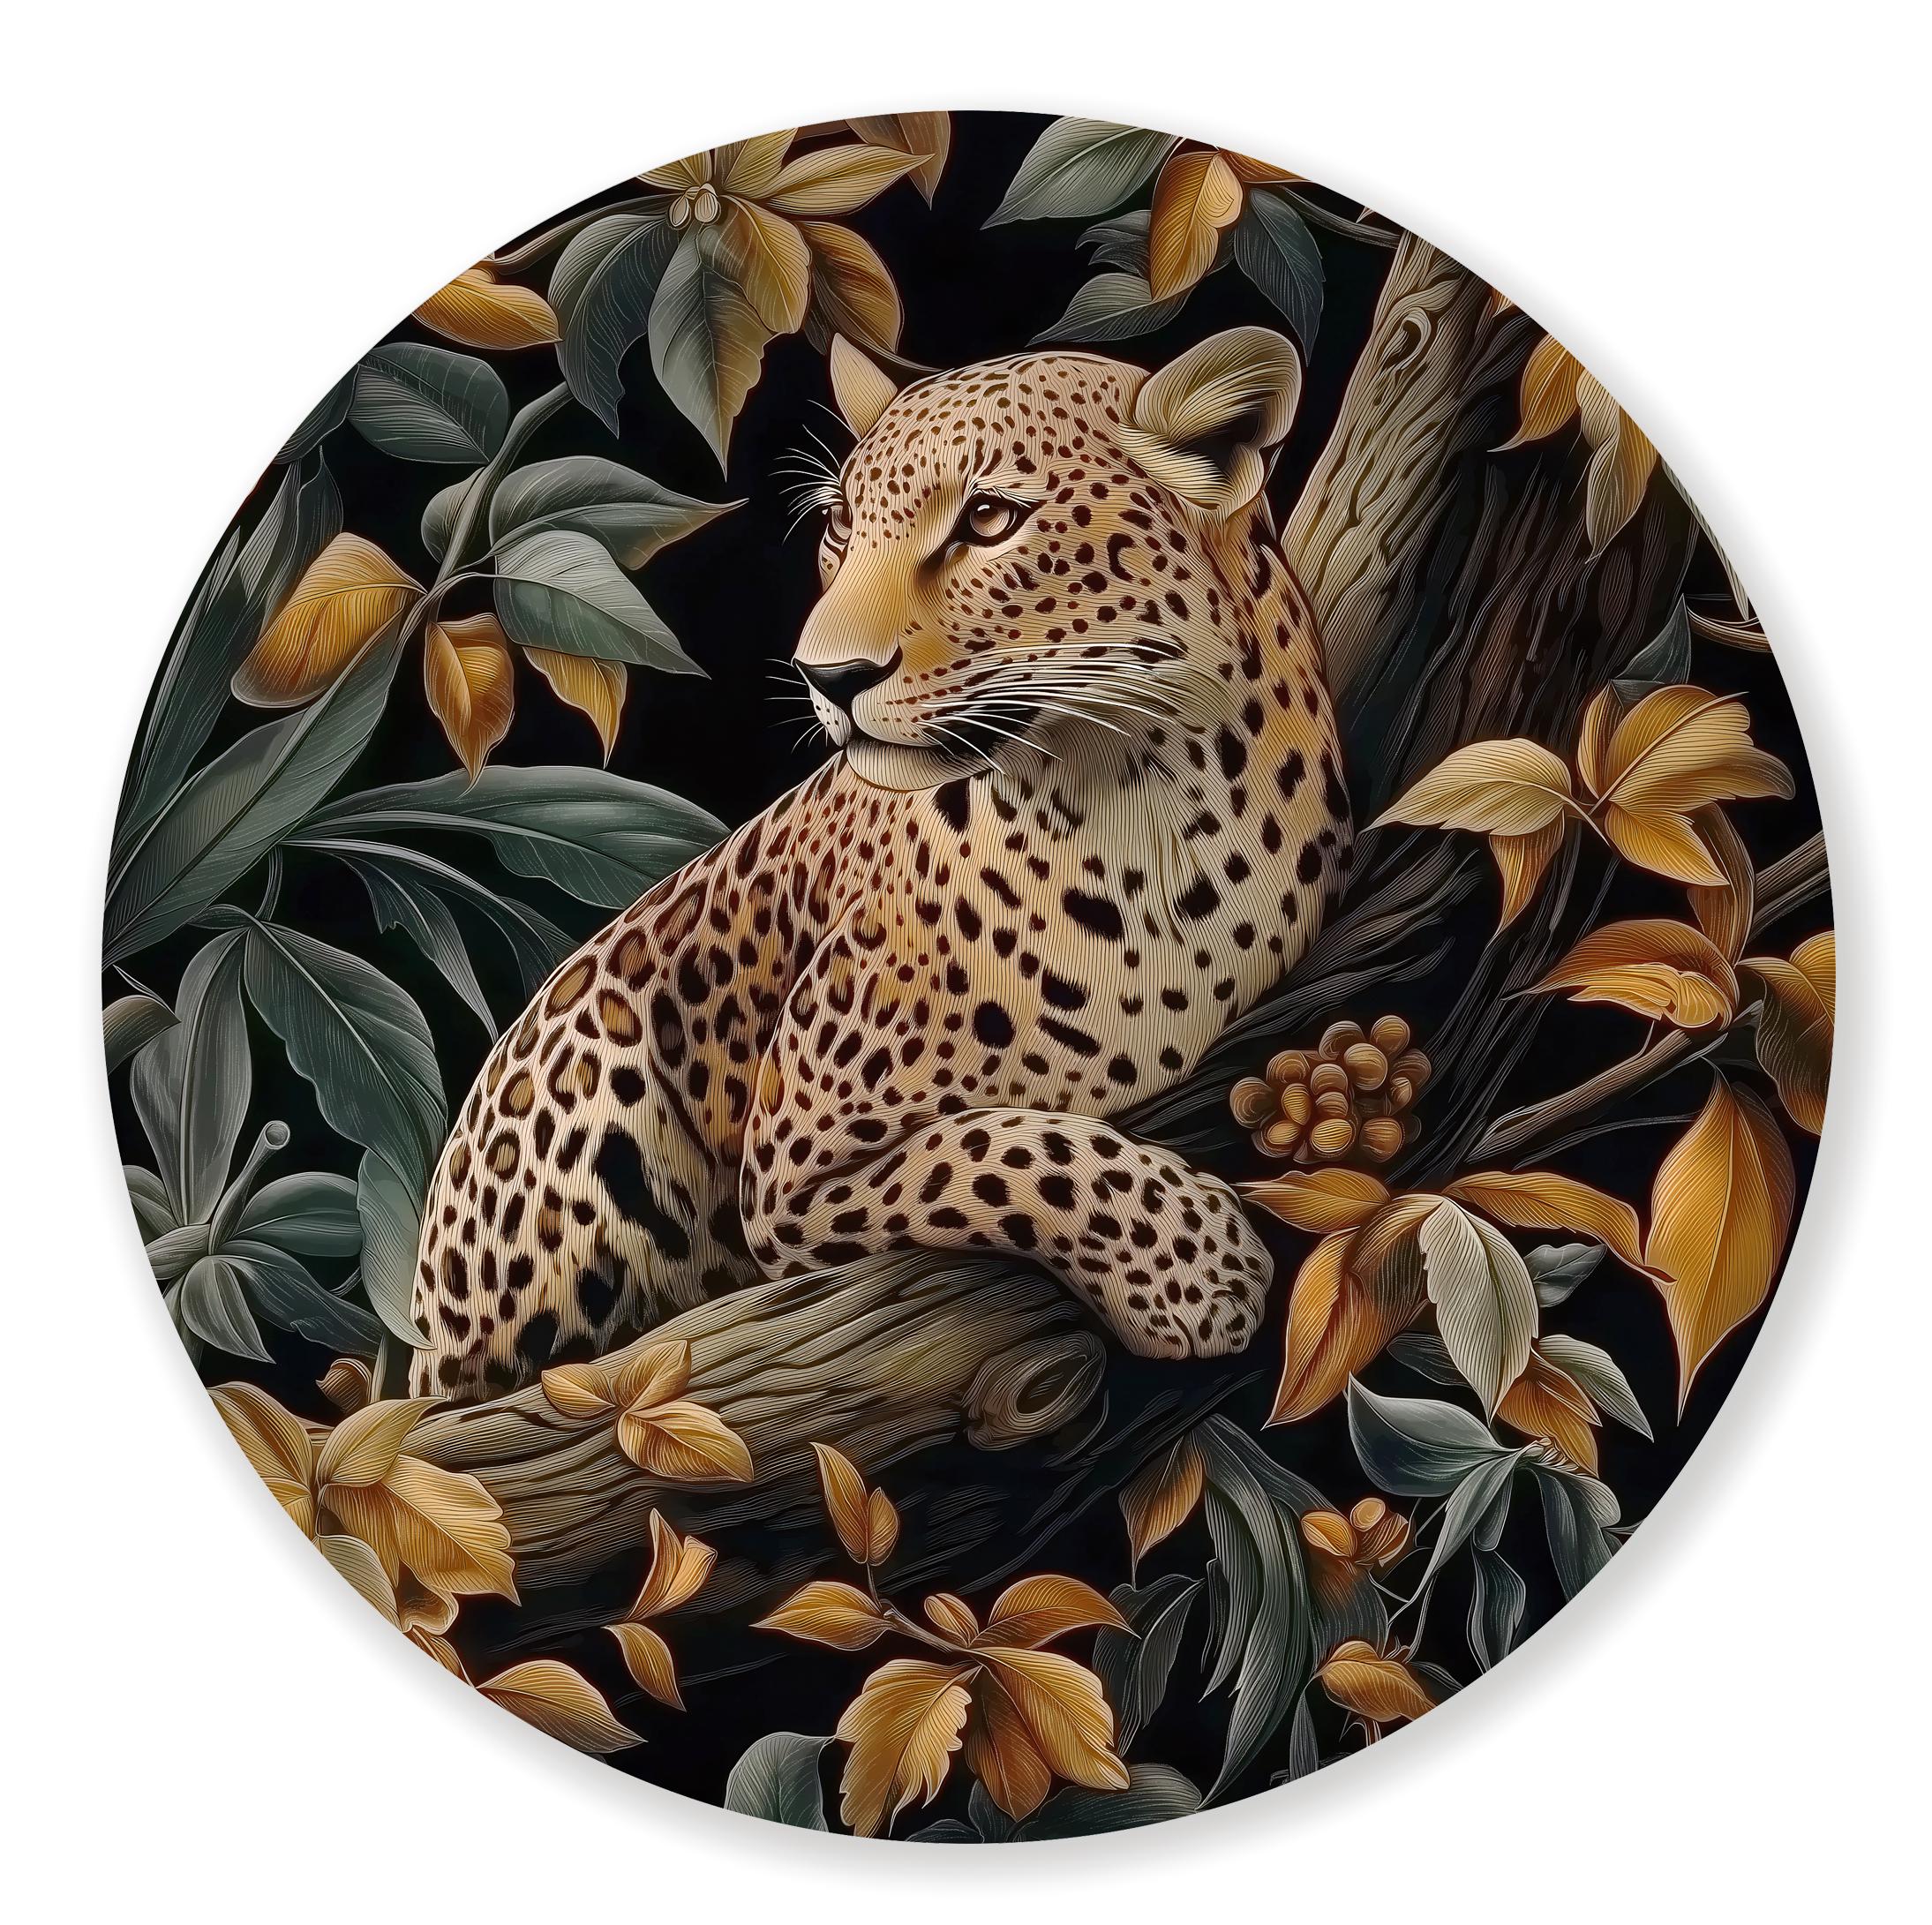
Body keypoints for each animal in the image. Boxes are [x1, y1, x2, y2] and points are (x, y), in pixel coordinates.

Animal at [409, 325, 1352, 1402]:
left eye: (987, 519)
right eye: (840, 526)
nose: (828, 676)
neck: (1137, 809)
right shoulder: (786, 1173)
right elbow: (993, 1148)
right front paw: (1195, 1268)